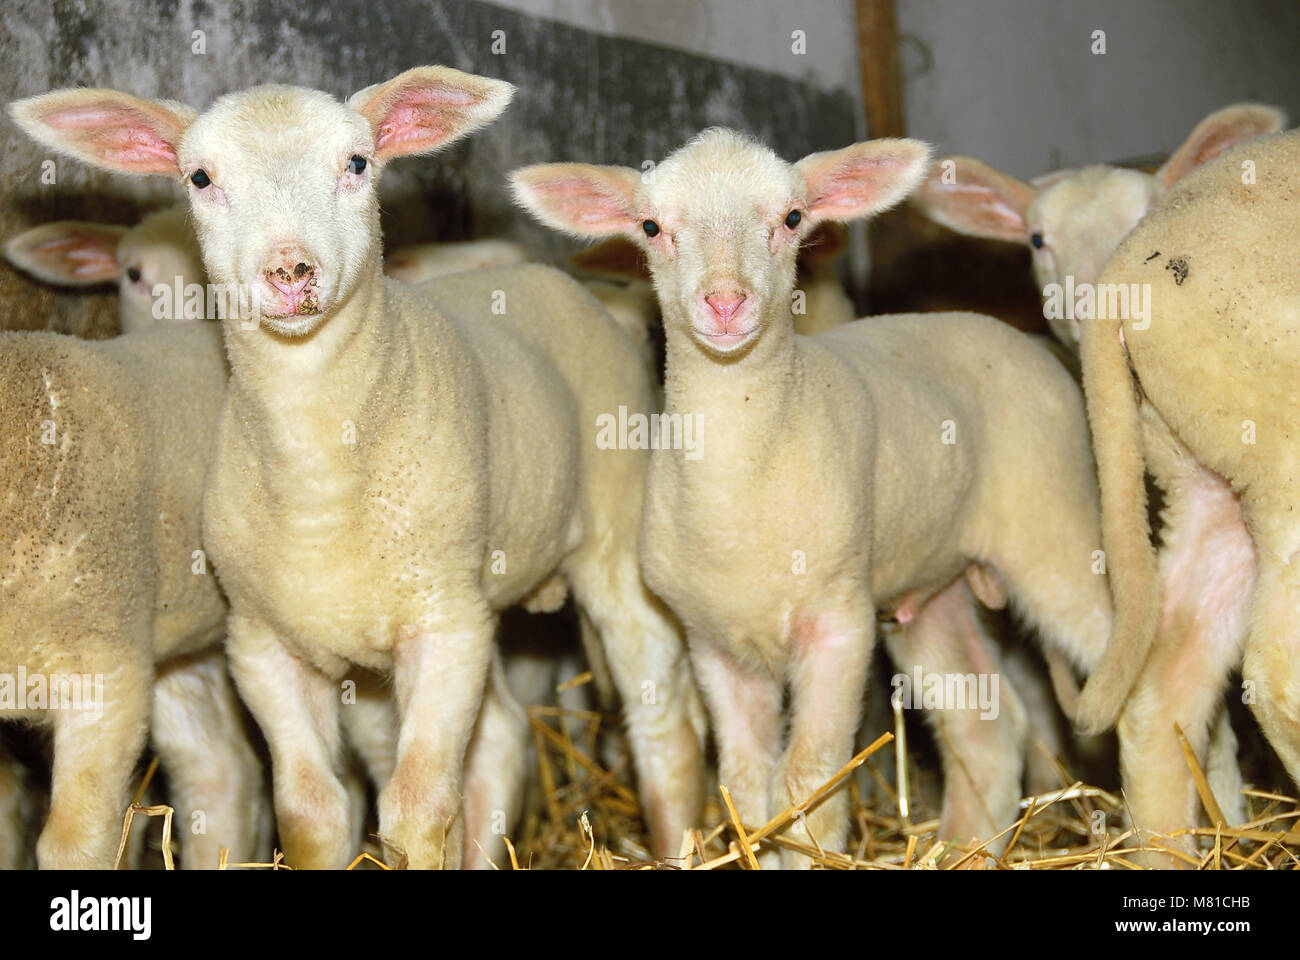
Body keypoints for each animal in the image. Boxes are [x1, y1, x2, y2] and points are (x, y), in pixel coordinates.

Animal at [512, 127, 1115, 866]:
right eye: (651, 227)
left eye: (793, 217)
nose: (725, 303)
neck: (746, 475)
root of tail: (1008, 332)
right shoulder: (715, 645)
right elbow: (746, 785)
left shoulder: (839, 623)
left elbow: (806, 782)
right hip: (932, 587)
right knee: (986, 726)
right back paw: (962, 847)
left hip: (1055, 529)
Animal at [1075, 129, 1300, 864]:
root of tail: (1123, 274)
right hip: (1280, 454)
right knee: (1277, 673)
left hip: (1205, 468)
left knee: (1165, 684)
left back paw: (1167, 850)